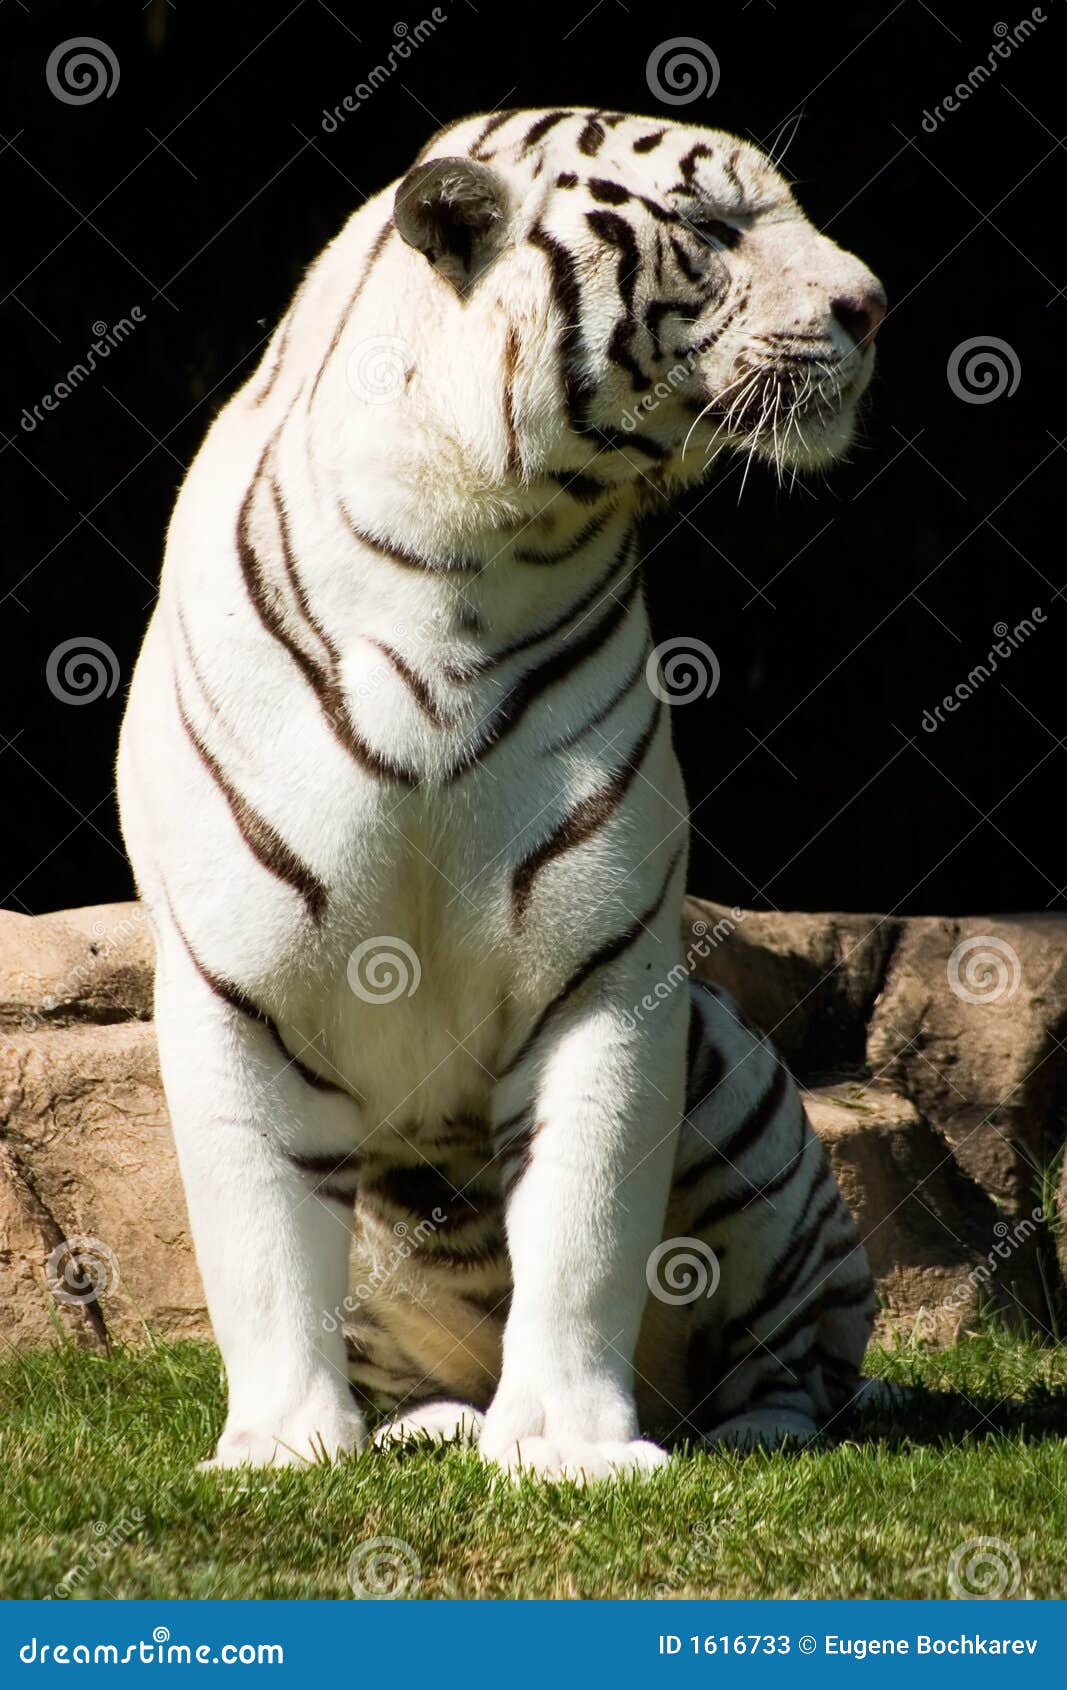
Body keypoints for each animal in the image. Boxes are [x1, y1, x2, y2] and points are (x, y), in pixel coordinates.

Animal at [117, 106, 885, 1481]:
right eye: (712, 228)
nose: (872, 305)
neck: (471, 542)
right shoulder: (237, 975)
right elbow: (259, 1236)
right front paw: (281, 1447)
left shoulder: (604, 964)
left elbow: (582, 1225)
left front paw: (571, 1449)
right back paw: (426, 1424)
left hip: (755, 1123)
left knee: (798, 1360)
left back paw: (741, 1430)